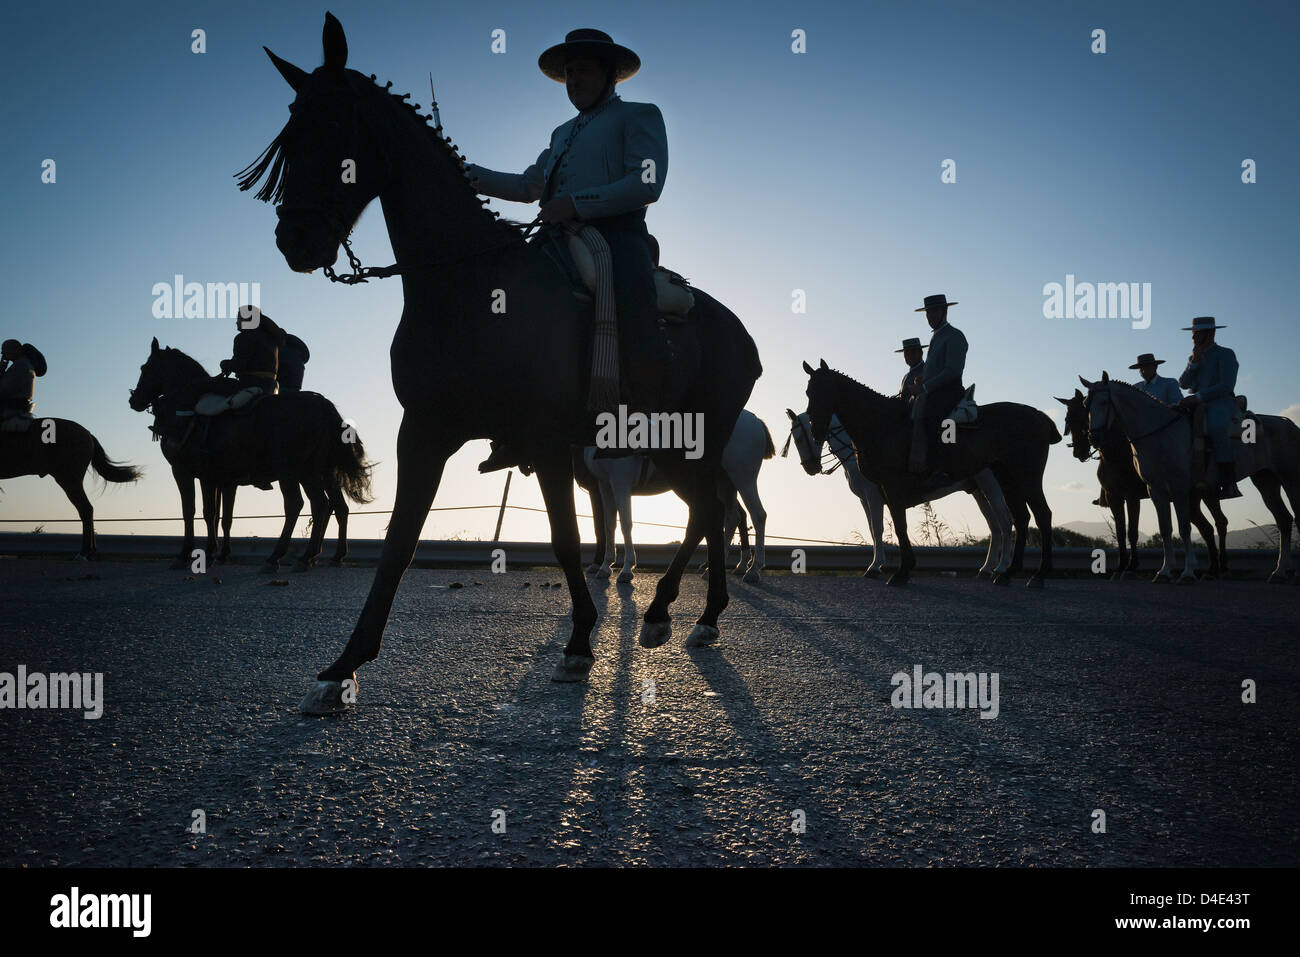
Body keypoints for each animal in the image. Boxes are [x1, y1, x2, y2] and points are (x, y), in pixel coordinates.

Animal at [129, 338, 372, 573]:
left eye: (145, 368)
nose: (134, 401)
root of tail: (320, 403)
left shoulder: (184, 471)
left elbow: (191, 510)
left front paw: (185, 555)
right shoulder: (218, 479)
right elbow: (217, 515)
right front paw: (215, 553)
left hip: (292, 471)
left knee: (300, 504)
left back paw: (279, 558)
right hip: (315, 472)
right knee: (331, 506)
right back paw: (321, 556)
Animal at [578, 409, 773, 584]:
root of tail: (755, 420)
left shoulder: (620, 483)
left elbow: (626, 524)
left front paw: (626, 569)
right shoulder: (604, 484)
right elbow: (609, 524)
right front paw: (605, 567)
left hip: (742, 478)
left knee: (758, 515)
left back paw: (753, 569)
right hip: (724, 482)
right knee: (732, 517)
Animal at [801, 359, 1058, 587]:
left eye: (825, 390)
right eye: (808, 392)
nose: (817, 431)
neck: (881, 424)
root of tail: (1039, 415)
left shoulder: (888, 489)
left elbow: (895, 526)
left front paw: (898, 571)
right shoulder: (877, 494)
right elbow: (881, 528)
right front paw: (889, 567)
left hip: (1020, 480)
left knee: (1035, 517)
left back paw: (1034, 575)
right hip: (1005, 481)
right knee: (1018, 519)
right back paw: (1005, 572)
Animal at [1058, 387, 1232, 579]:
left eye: (1083, 415)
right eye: (1068, 419)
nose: (1079, 451)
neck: (1115, 456)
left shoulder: (1132, 496)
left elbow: (1132, 532)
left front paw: (1131, 566)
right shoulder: (1114, 497)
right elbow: (1120, 532)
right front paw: (1120, 566)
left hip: (1208, 493)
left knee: (1220, 522)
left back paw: (1221, 567)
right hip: (1191, 500)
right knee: (1206, 528)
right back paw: (1211, 568)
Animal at [1081, 373, 1300, 583]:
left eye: (1103, 402)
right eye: (1086, 404)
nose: (1093, 438)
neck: (1159, 436)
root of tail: (1290, 424)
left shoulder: (1176, 489)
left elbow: (1183, 528)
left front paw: (1187, 573)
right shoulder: (1156, 491)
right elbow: (1165, 528)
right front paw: (1164, 571)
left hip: (1289, 480)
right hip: (1266, 481)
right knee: (1283, 519)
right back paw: (1279, 572)